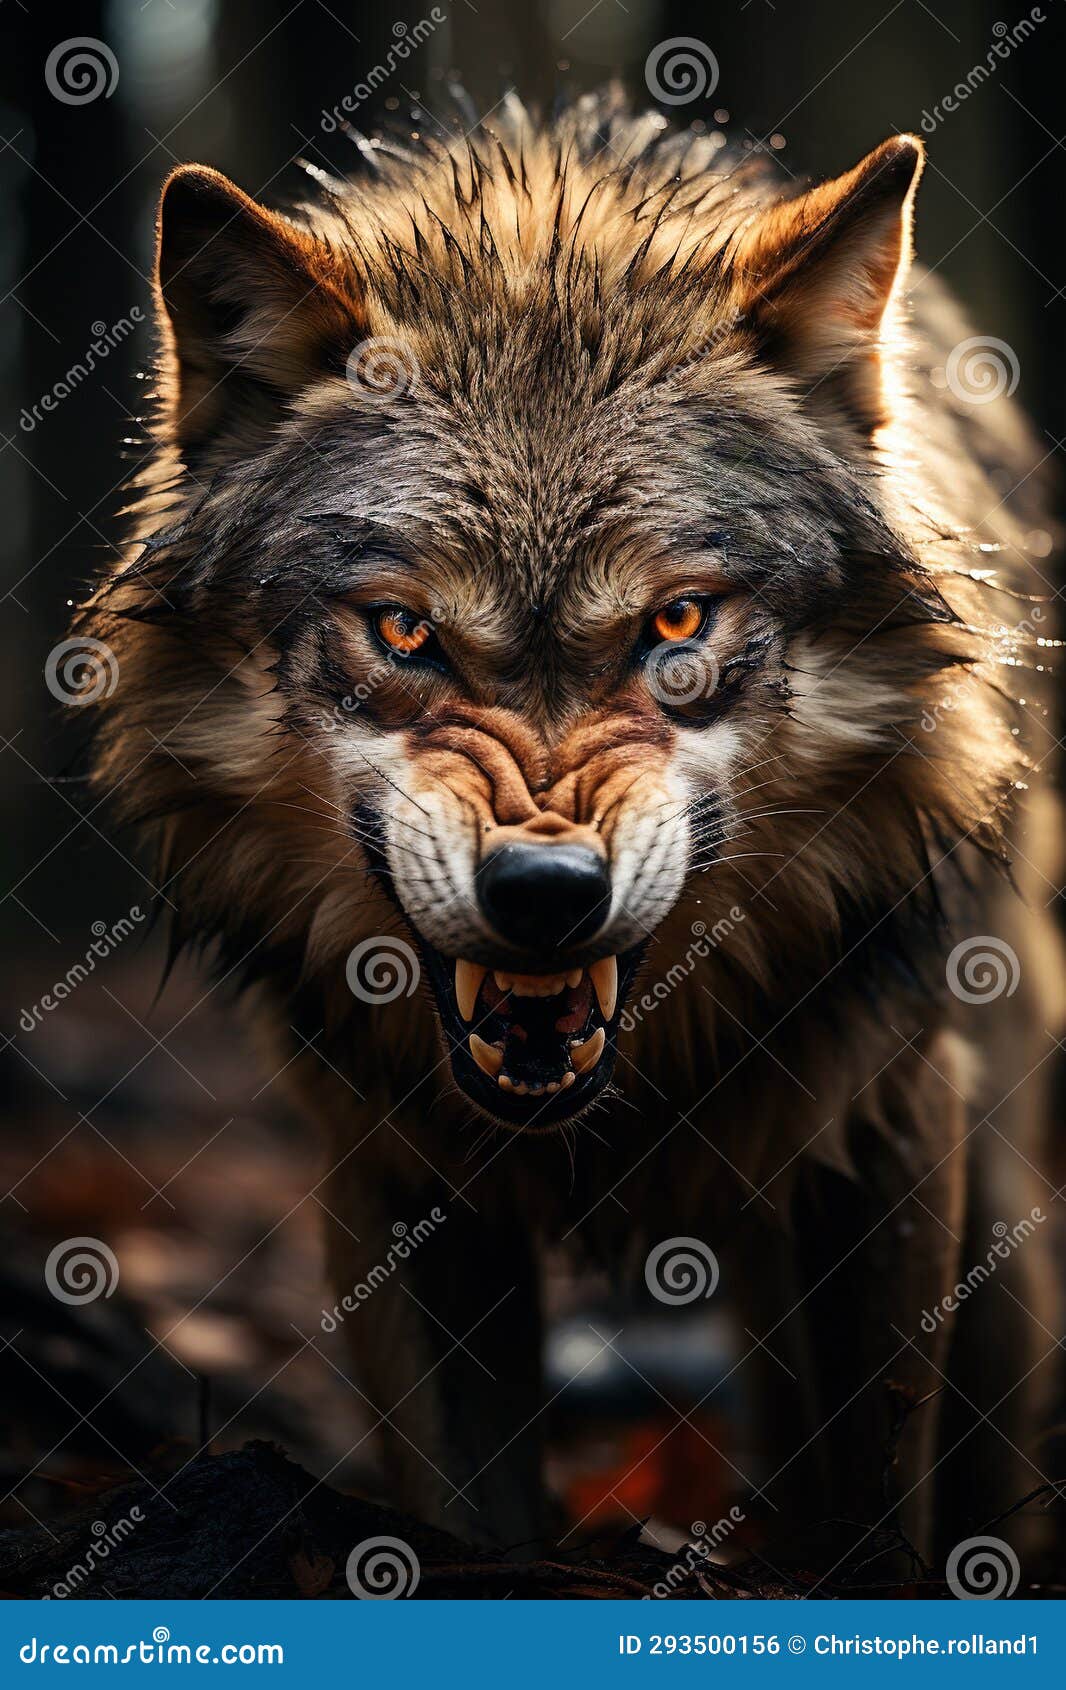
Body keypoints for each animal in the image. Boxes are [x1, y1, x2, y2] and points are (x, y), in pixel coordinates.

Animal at [74, 91, 1062, 1571]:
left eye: (676, 619)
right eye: (403, 629)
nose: (543, 889)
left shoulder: (893, 1123)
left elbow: (884, 1504)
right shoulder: (393, 1180)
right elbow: (459, 1508)